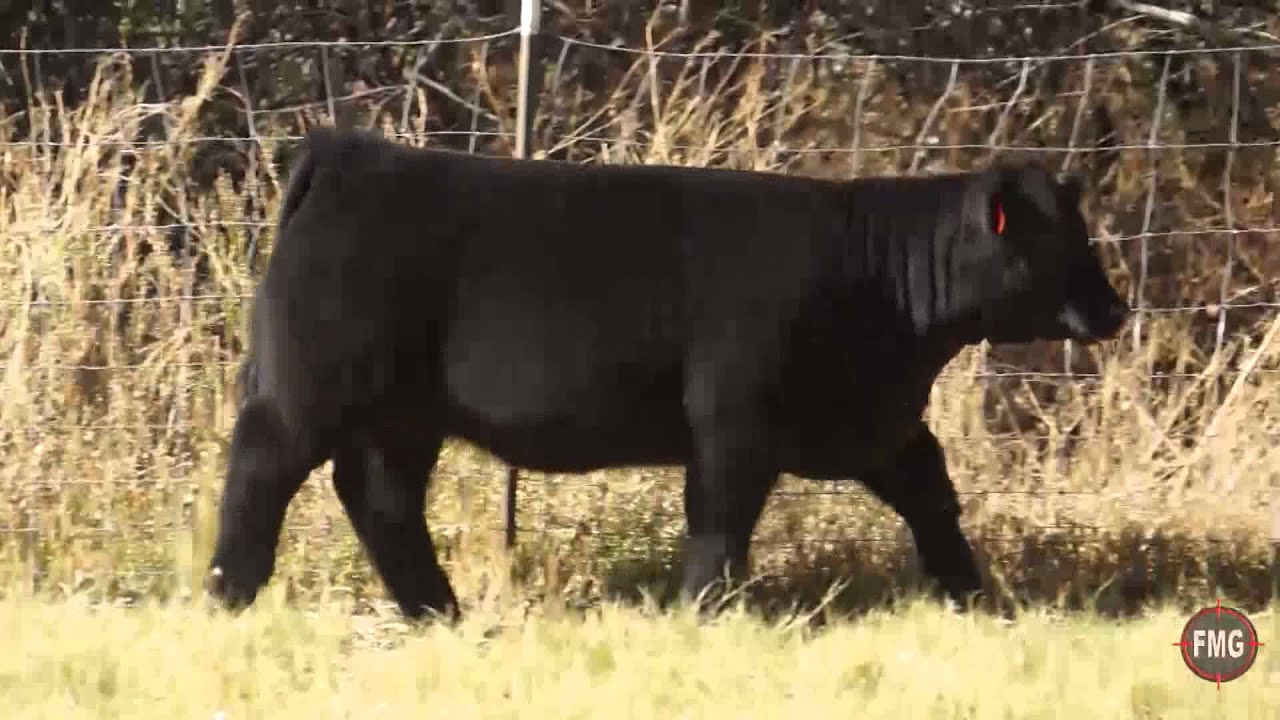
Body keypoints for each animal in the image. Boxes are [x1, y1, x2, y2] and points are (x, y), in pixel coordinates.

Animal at [204, 126, 1130, 622]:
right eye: (1062, 242)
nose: (1116, 311)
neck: (876, 282)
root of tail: (351, 153)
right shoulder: (734, 419)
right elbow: (719, 520)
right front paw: (703, 612)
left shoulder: (876, 424)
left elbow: (932, 494)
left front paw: (971, 594)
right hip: (306, 392)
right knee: (261, 471)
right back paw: (228, 594)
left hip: (404, 417)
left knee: (381, 501)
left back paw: (439, 612)